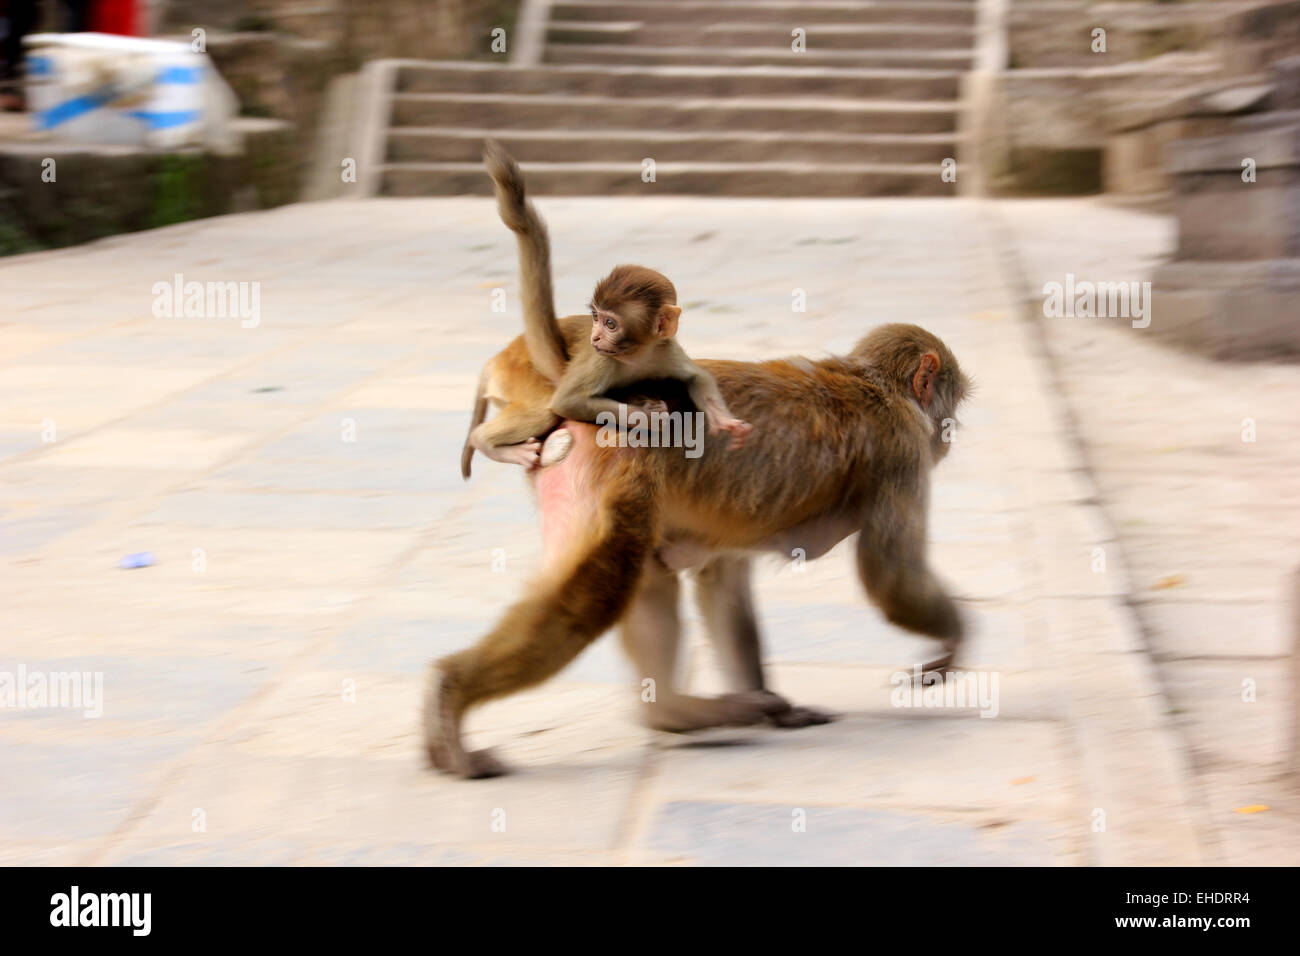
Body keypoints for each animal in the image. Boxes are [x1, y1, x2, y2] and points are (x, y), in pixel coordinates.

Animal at [460, 142, 750, 478]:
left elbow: (697, 377)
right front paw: (646, 416)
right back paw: (484, 441)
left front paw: (724, 420)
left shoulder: (665, 349)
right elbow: (568, 401)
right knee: (543, 407)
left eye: (610, 324)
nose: (596, 338)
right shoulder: (601, 360)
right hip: (519, 376)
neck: (637, 354)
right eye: (597, 318)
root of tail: (497, 359)